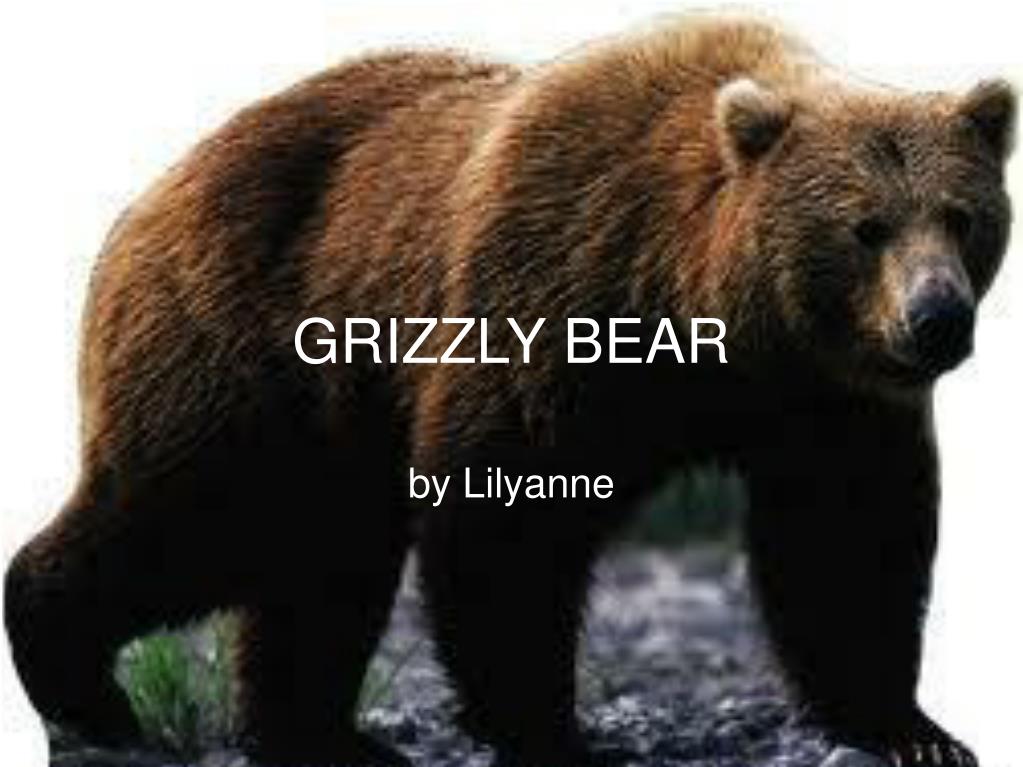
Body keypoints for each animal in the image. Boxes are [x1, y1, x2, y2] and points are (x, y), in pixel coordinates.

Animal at [4, 12, 1015, 767]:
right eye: (865, 227)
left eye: (962, 216)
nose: (935, 318)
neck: (711, 312)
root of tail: (154, 188)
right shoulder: (556, 293)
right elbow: (509, 520)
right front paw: (549, 729)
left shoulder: (827, 398)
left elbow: (845, 542)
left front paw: (912, 729)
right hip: (250, 335)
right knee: (197, 512)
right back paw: (82, 685)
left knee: (321, 555)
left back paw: (318, 733)